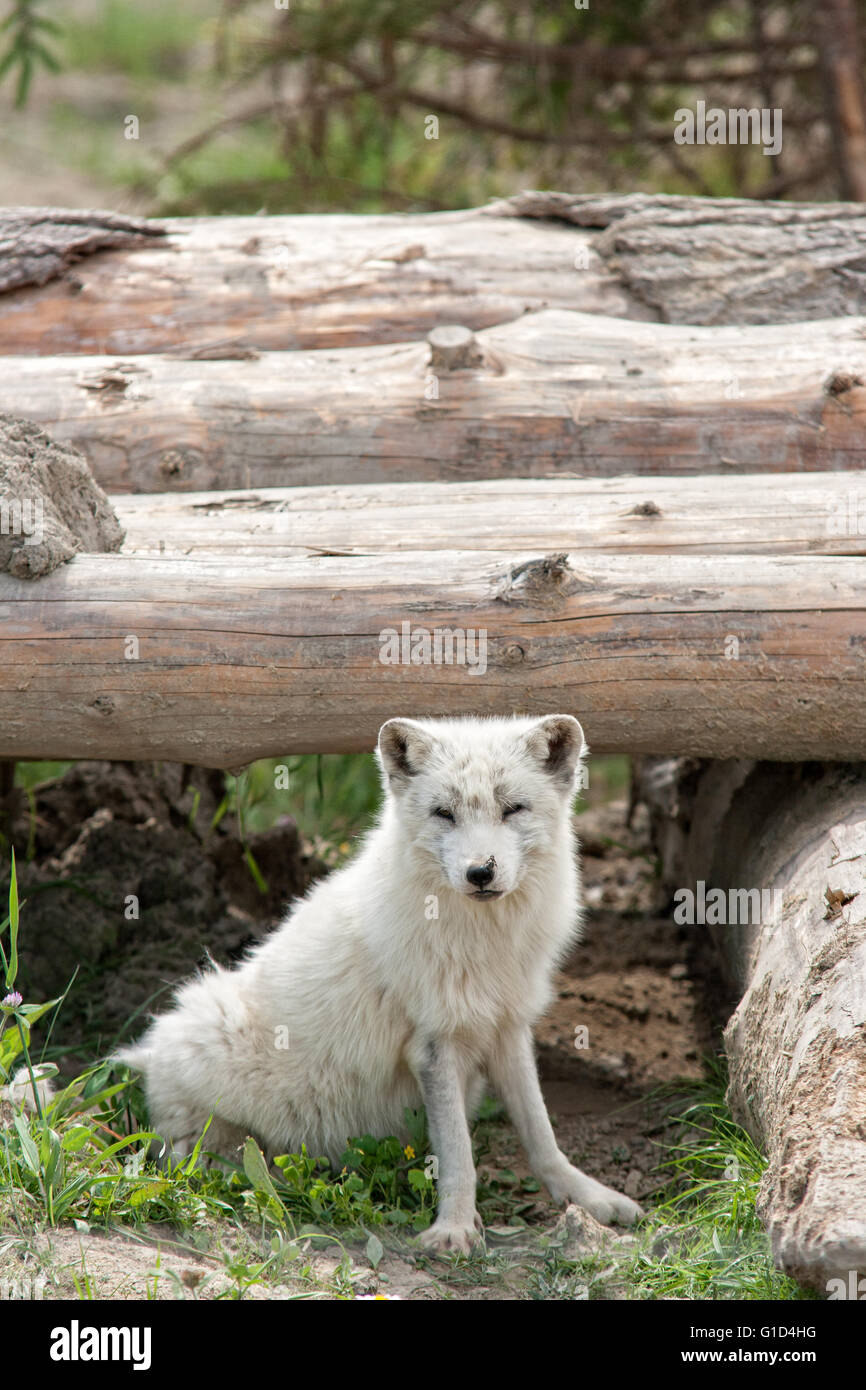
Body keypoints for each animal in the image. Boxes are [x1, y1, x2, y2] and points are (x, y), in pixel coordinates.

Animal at [116, 714, 642, 1252]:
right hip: (212, 1037)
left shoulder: (507, 1027)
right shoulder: (434, 1044)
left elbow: (541, 1133)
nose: (480, 872)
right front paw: (455, 1226)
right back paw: (276, 1176)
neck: (484, 940)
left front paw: (585, 1196)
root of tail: (147, 1055)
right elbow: (458, 1154)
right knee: (200, 1156)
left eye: (512, 808)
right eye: (444, 814)